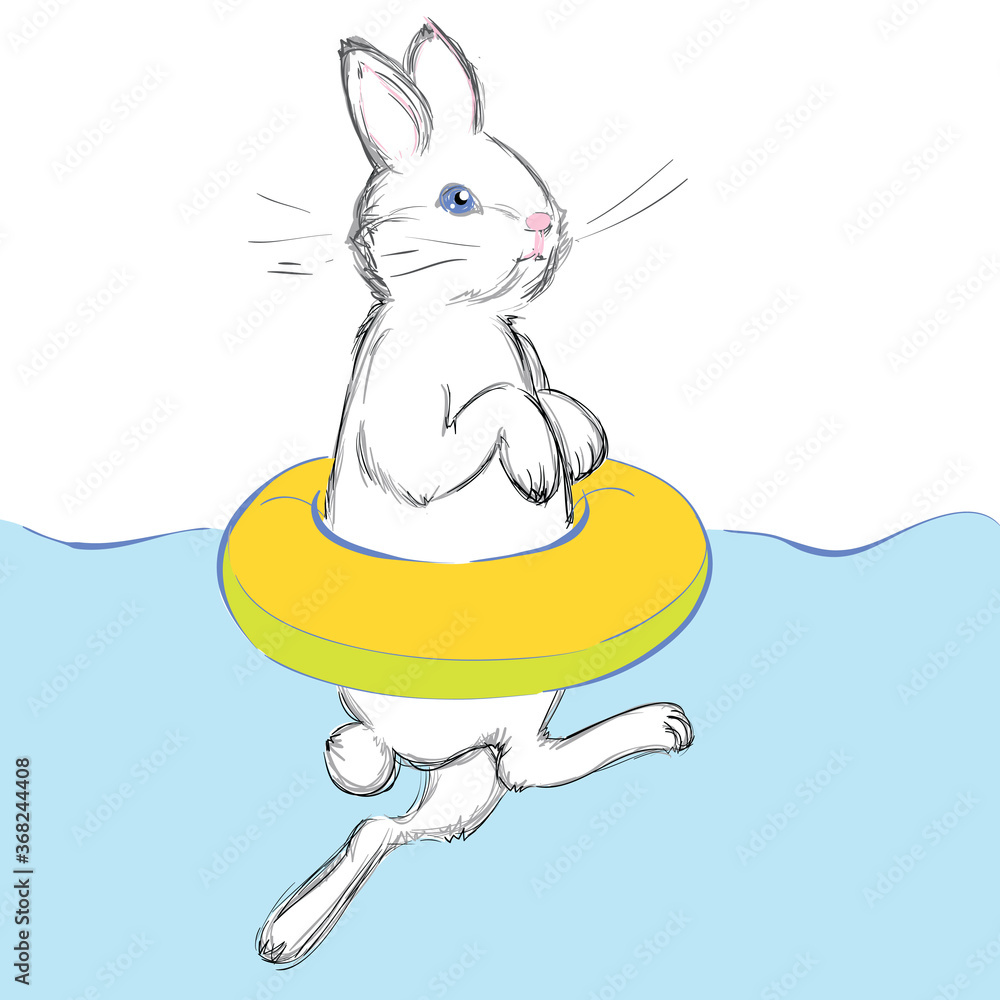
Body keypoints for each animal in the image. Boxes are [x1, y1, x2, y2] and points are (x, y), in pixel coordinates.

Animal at [257, 20, 693, 967]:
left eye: (530, 178)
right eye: (458, 200)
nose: (545, 224)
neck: (456, 314)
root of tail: (449, 753)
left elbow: (548, 393)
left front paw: (579, 444)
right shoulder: (411, 436)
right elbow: (492, 410)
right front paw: (537, 466)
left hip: (514, 733)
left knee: (518, 773)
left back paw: (660, 726)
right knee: (381, 825)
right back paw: (290, 925)